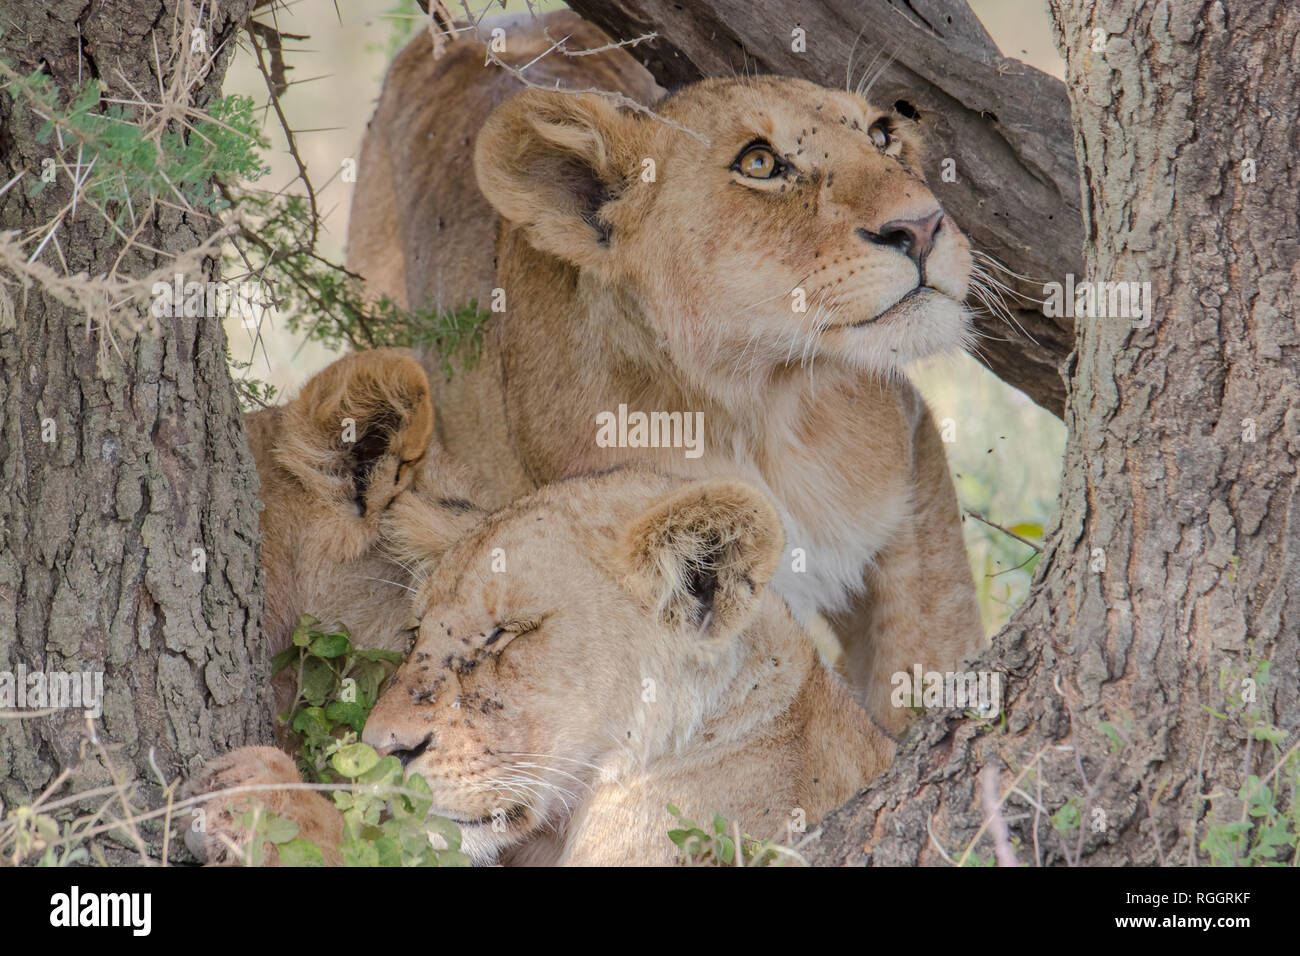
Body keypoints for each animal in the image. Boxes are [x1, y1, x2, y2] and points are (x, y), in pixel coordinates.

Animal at [347, 11, 984, 735]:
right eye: (759, 163)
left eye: (881, 134)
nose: (923, 227)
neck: (760, 410)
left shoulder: (917, 456)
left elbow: (927, 649)